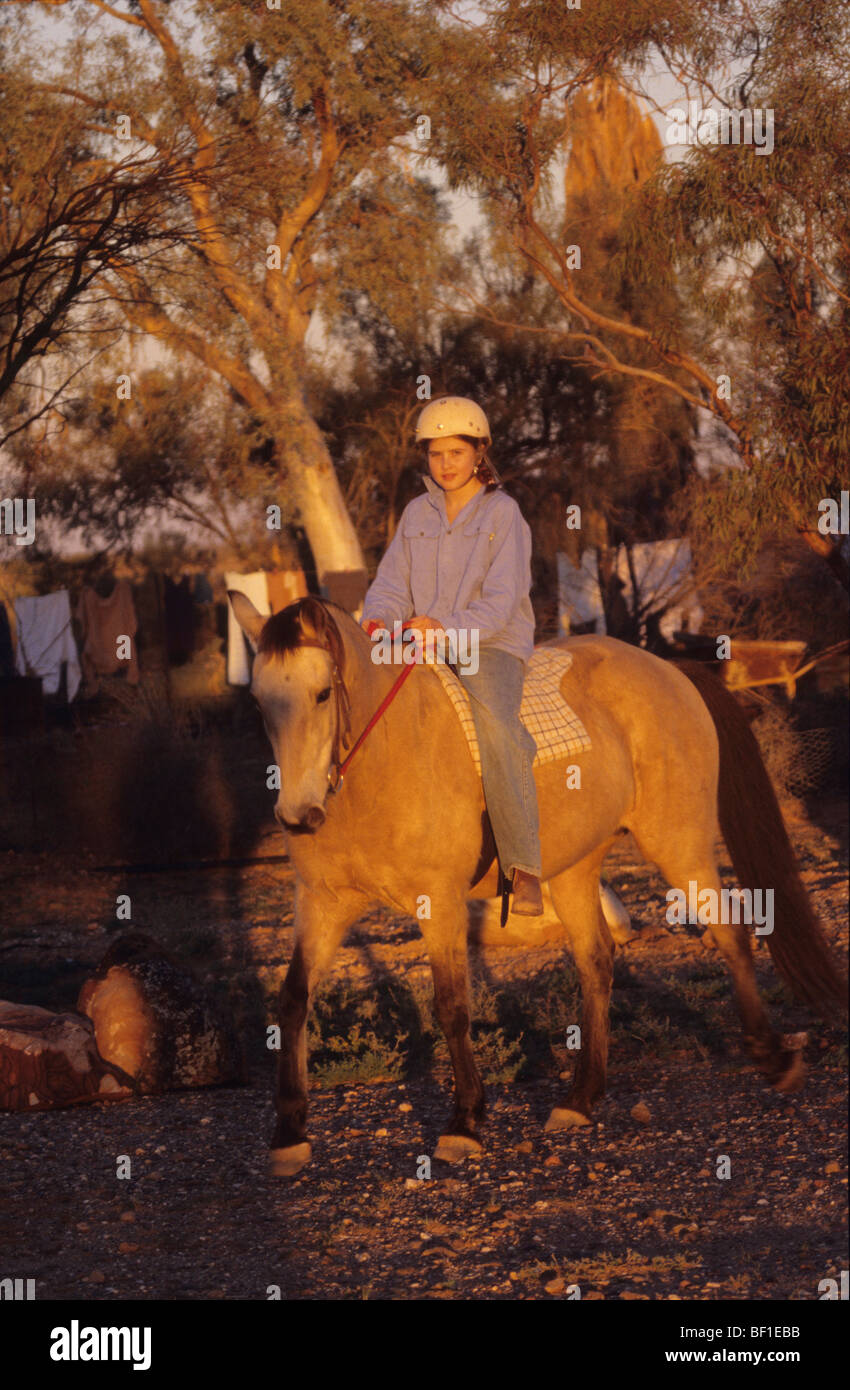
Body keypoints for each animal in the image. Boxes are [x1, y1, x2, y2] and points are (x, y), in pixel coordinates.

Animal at [228, 593, 846, 1176]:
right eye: (259, 702)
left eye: (322, 695)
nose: (296, 816)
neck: (375, 769)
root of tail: (667, 670)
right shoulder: (322, 904)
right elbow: (293, 999)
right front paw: (289, 1135)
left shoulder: (440, 904)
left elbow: (451, 1005)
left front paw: (464, 1122)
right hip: (575, 868)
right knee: (596, 961)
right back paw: (581, 1097)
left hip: (679, 842)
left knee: (729, 934)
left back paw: (774, 1058)